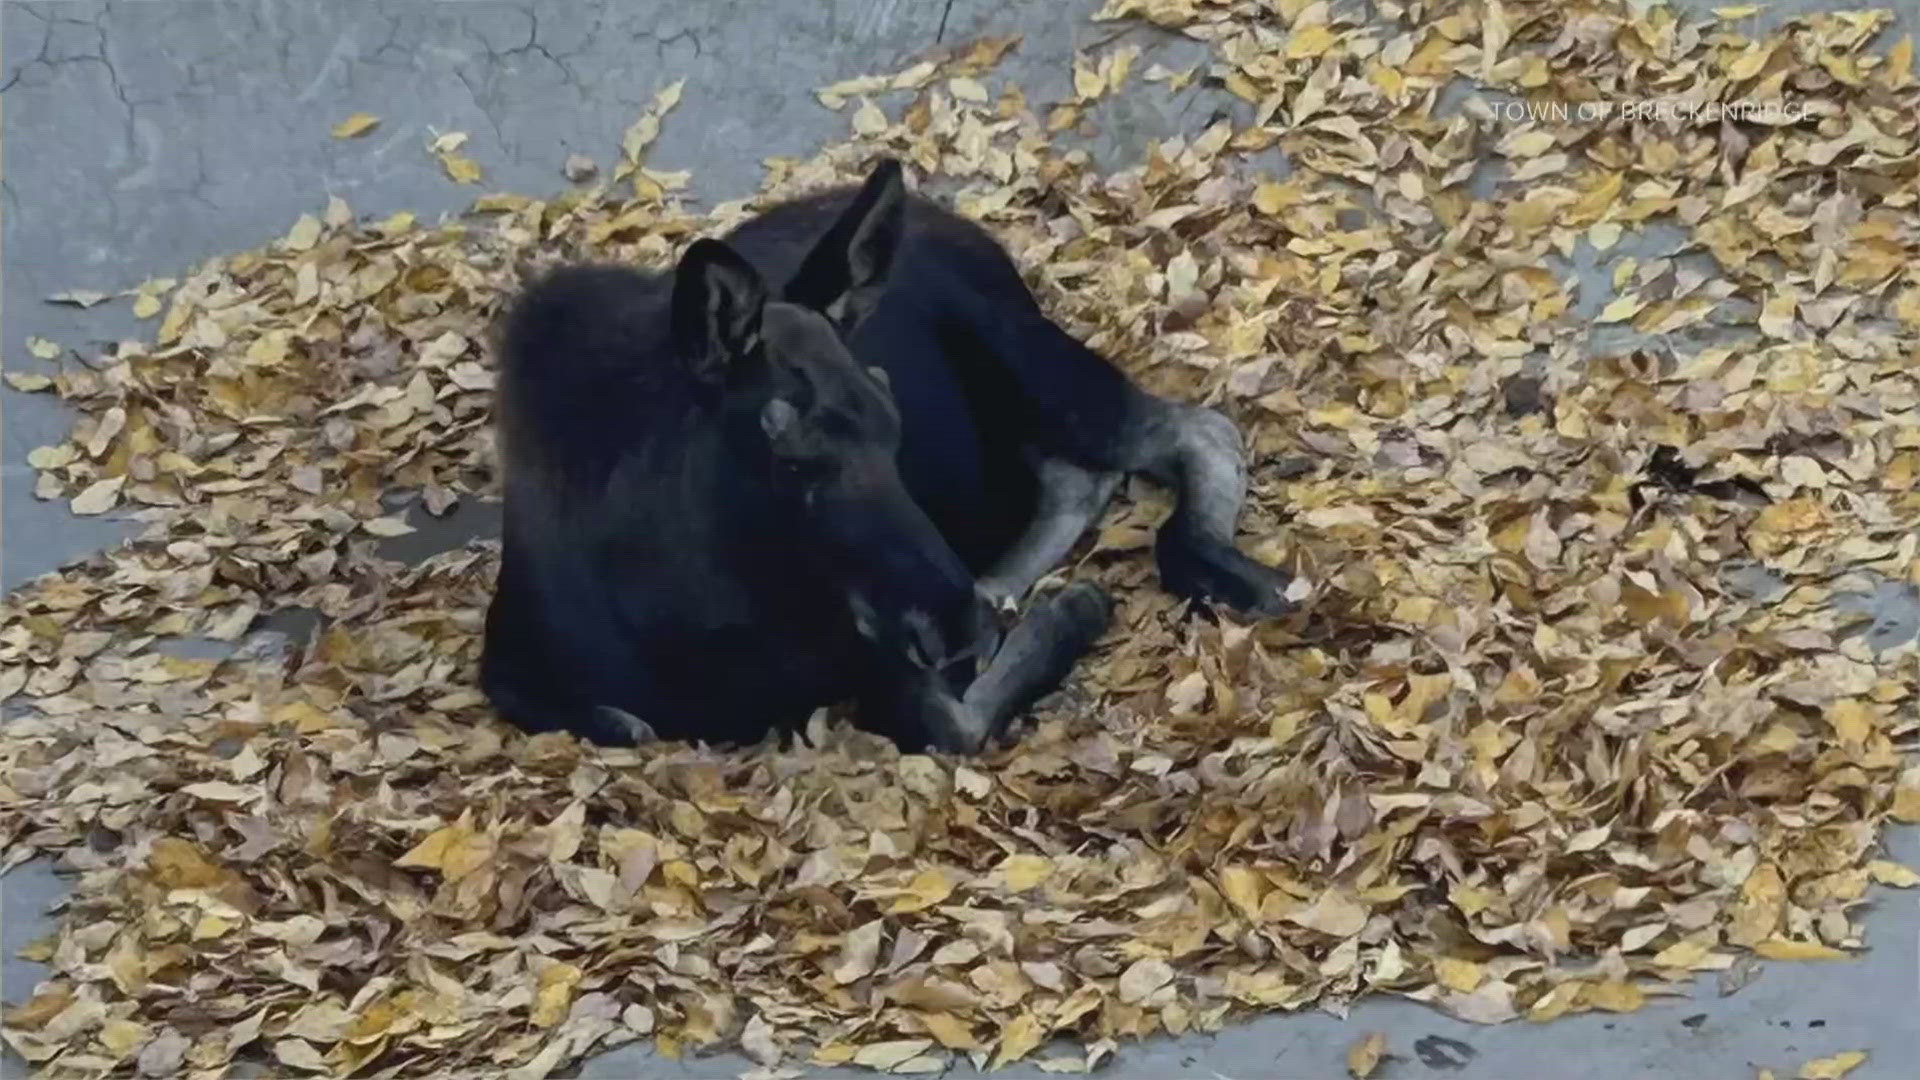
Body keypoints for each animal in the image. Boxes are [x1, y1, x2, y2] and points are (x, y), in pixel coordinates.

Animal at [480, 157, 1293, 754]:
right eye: (789, 457)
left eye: (892, 426)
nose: (953, 624)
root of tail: (951, 218)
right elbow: (619, 721)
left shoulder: (871, 654)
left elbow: (950, 725)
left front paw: (1073, 608)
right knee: (1078, 475)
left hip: (1025, 353)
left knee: (1193, 429)